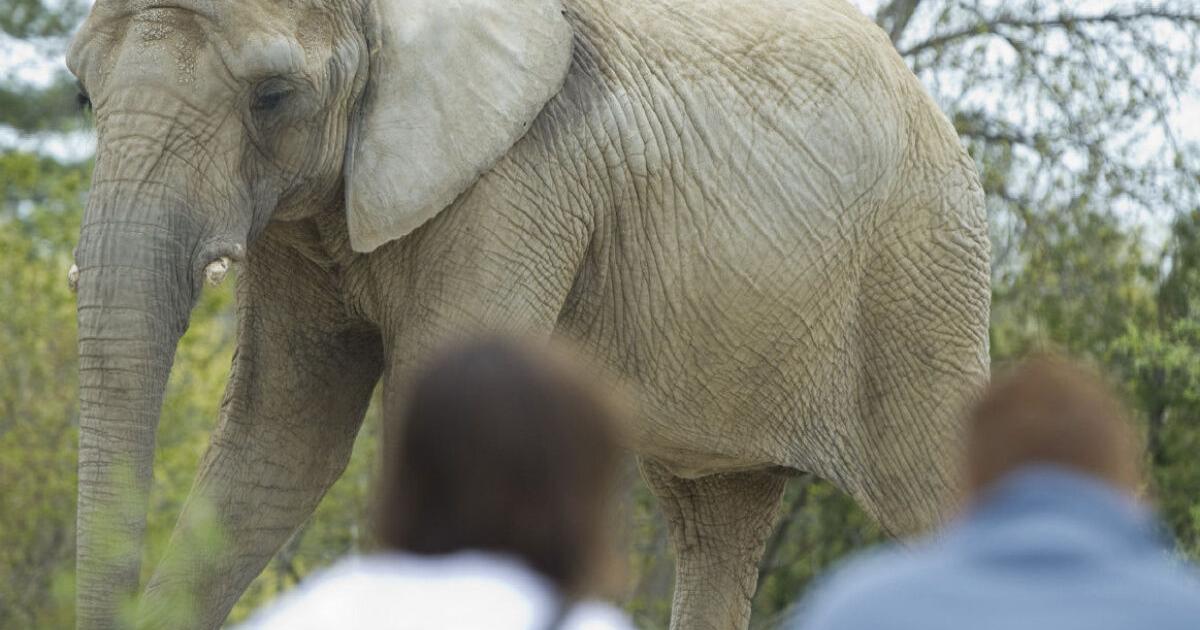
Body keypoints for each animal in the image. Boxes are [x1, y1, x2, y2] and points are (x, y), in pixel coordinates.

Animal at [66, 0, 990, 628]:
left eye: (271, 95)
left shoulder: (522, 182)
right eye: (81, 94)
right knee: (716, 522)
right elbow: (278, 443)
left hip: (924, 278)